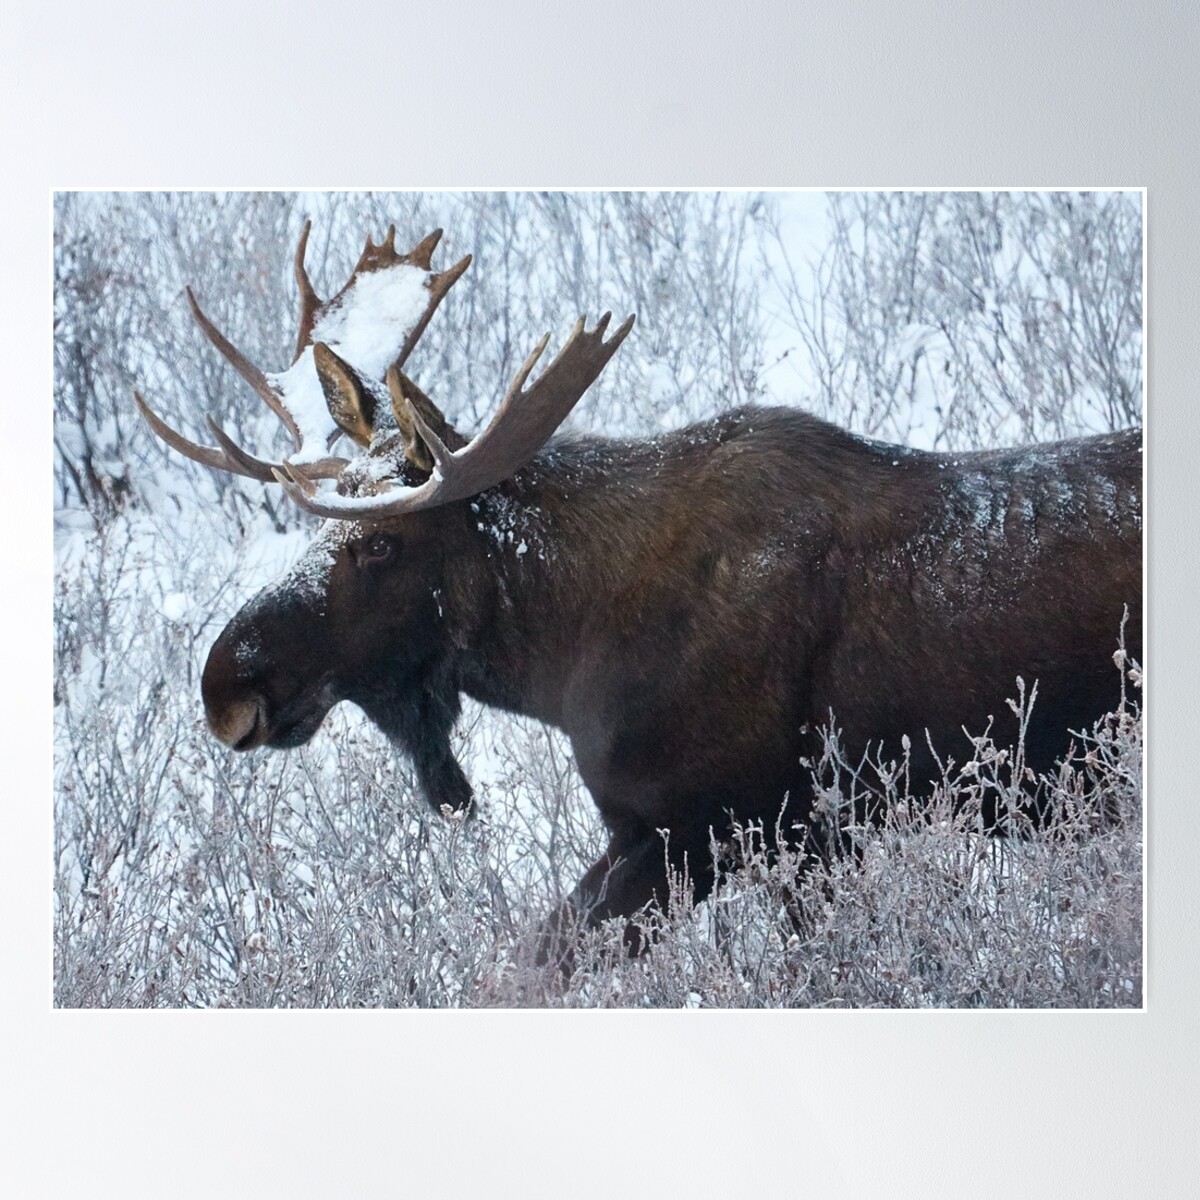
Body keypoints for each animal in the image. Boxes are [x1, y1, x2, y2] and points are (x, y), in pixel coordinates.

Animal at [137, 223, 1143, 959]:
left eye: (383, 543)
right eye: (316, 523)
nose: (227, 683)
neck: (559, 661)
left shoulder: (725, 825)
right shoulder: (735, 833)